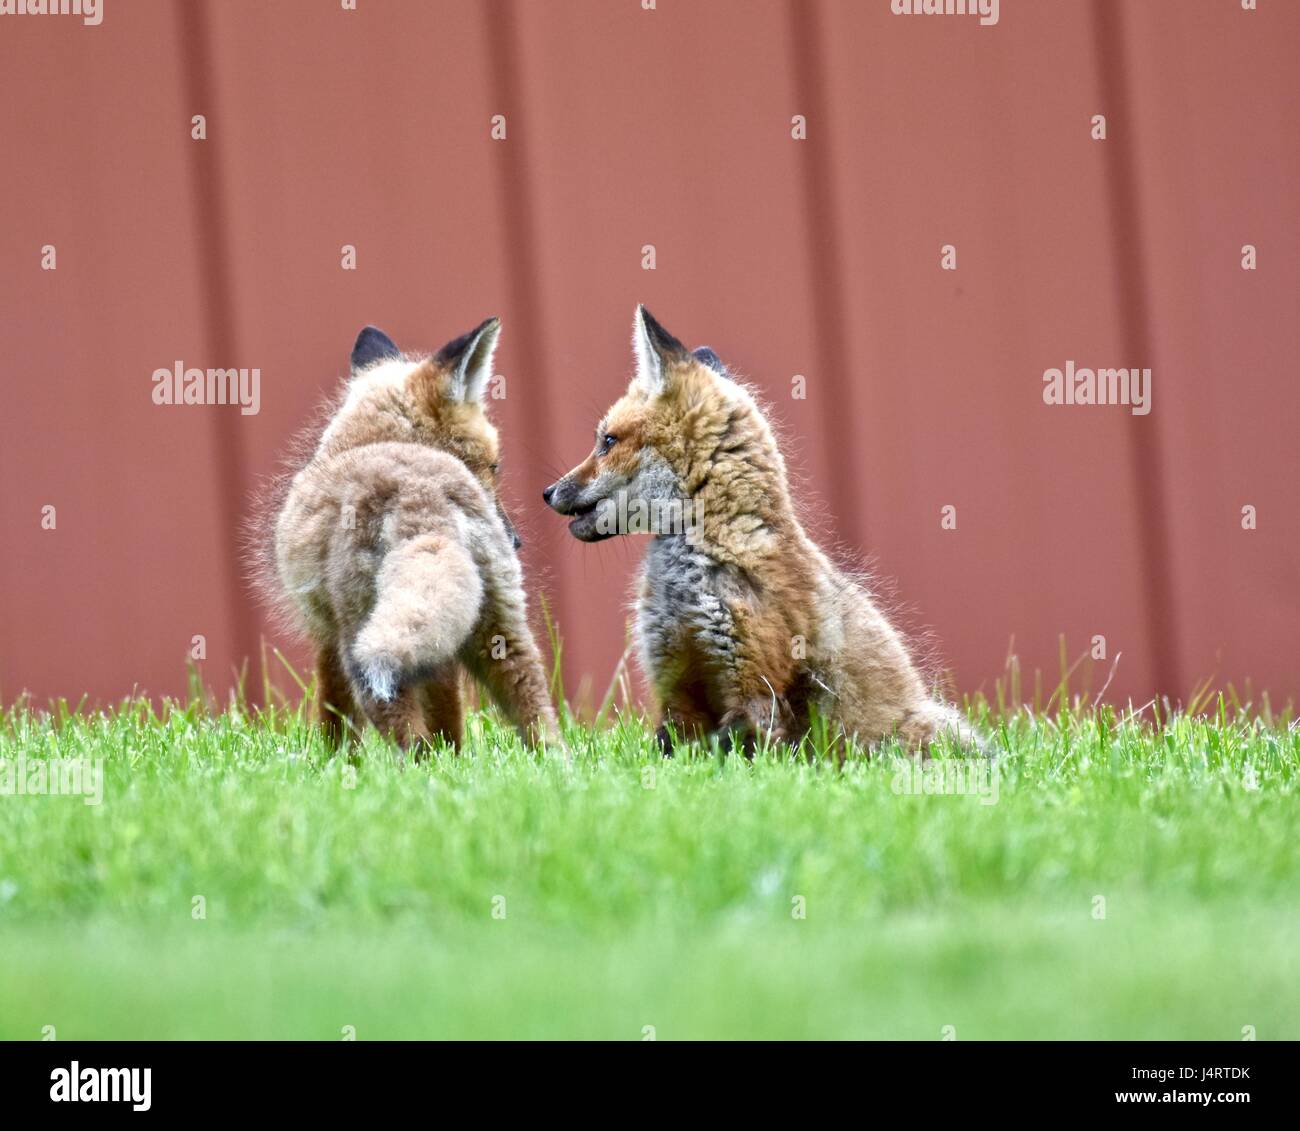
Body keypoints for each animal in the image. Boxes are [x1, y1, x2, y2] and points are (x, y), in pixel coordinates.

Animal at [266, 318, 557, 753]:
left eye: (496, 466)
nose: (516, 541)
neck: (374, 438)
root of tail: (420, 493)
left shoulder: (326, 631)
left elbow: (336, 717)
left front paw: (336, 762)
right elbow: (448, 712)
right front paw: (454, 757)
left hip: (364, 635)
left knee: (400, 723)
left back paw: (413, 768)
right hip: (497, 622)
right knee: (530, 698)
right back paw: (549, 760)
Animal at [543, 306, 979, 756]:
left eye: (608, 441)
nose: (548, 492)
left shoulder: (753, 686)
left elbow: (745, 752)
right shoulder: (675, 685)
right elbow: (671, 751)